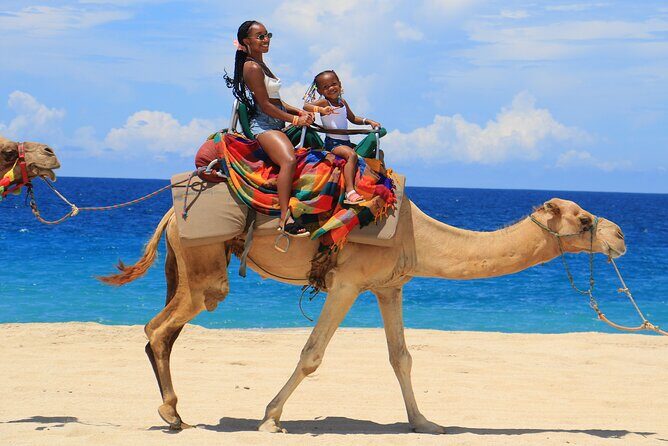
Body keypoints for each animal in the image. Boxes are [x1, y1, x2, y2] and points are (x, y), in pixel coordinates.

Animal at [101, 187, 626, 435]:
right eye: (583, 219)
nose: (619, 236)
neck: (418, 234)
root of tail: (171, 214)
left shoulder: (388, 287)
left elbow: (402, 358)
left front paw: (425, 423)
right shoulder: (348, 282)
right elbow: (312, 355)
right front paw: (270, 418)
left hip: (185, 266)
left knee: (162, 329)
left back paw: (175, 412)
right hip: (205, 268)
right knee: (160, 326)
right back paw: (172, 414)